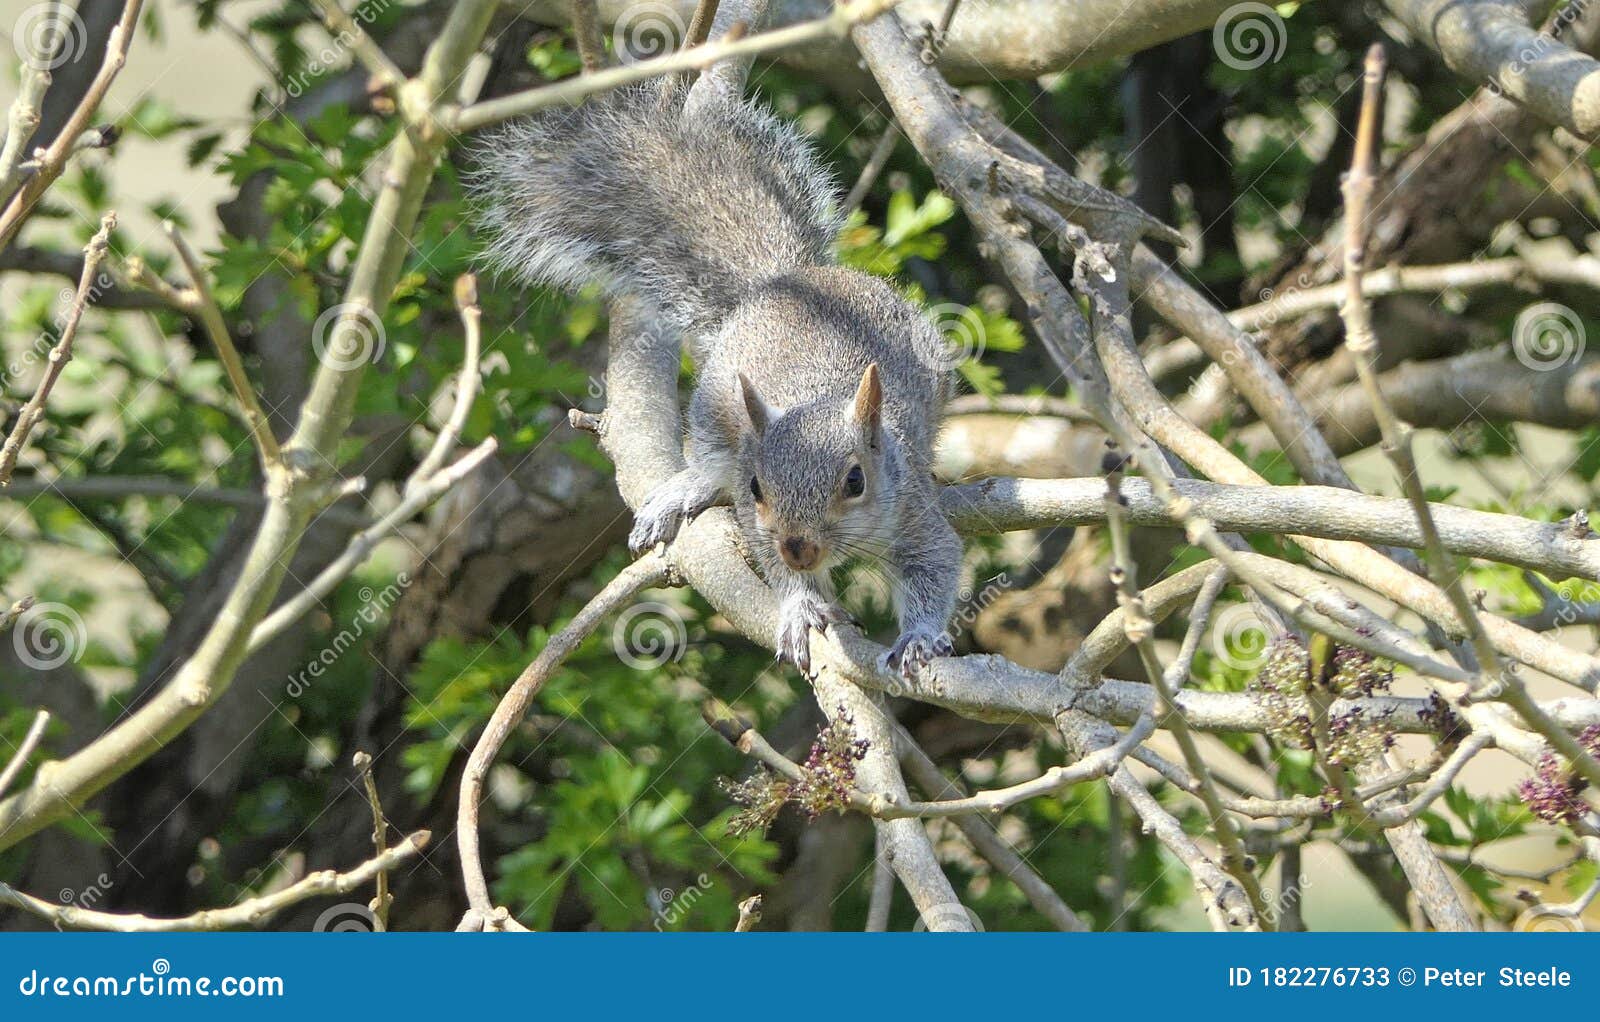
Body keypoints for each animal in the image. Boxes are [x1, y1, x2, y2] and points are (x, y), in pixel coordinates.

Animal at [469, 80, 960, 679]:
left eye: (855, 482)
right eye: (757, 487)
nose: (799, 548)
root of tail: (786, 280)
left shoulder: (913, 511)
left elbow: (936, 564)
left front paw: (918, 637)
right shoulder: (760, 523)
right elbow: (779, 572)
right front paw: (802, 608)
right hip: (709, 413)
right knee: (707, 461)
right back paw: (685, 490)